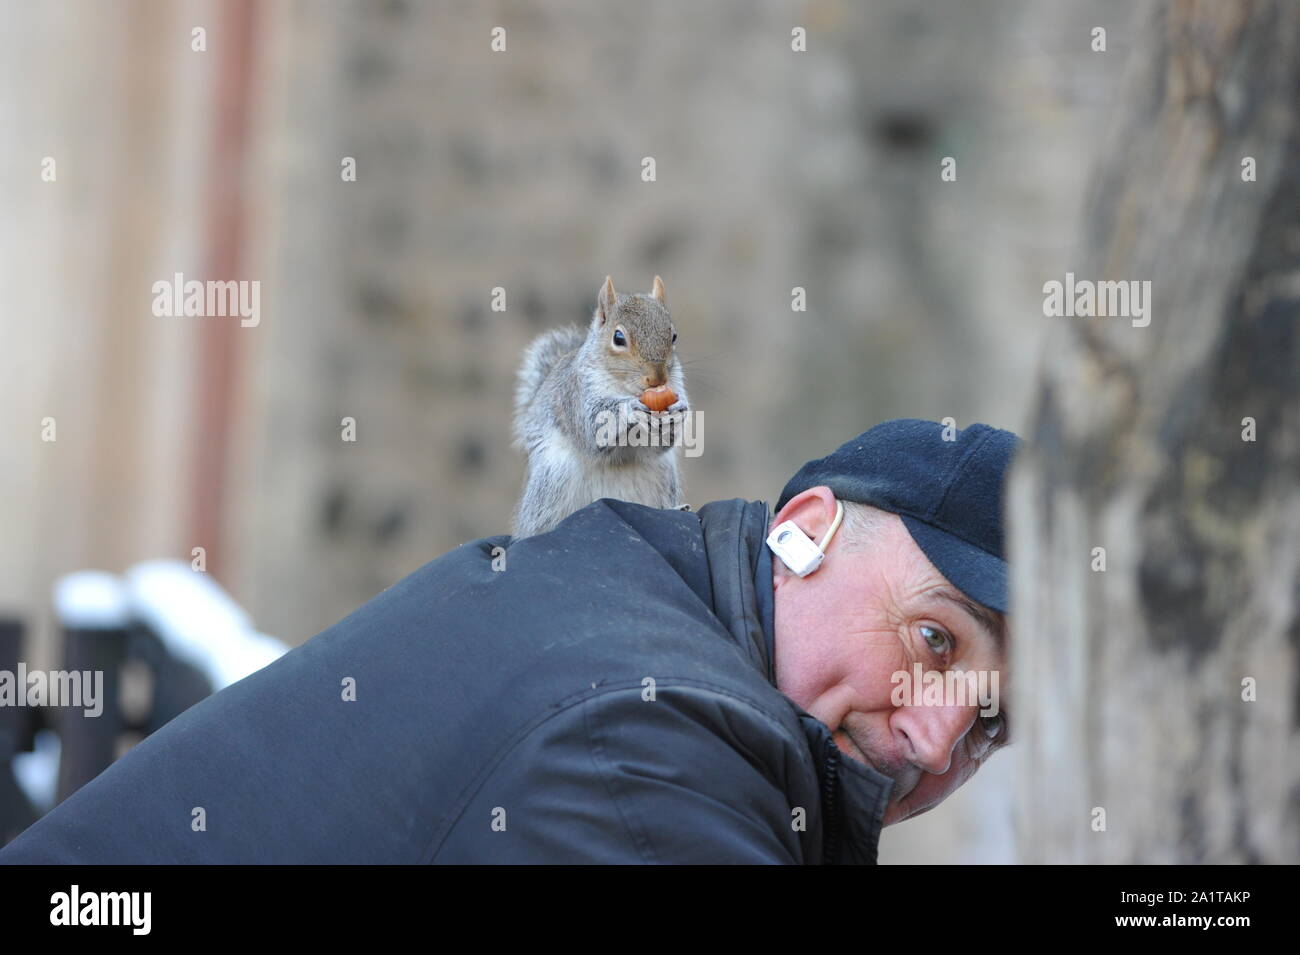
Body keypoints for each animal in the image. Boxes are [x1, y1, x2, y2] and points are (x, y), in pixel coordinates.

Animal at [510, 275, 690, 539]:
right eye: (618, 338)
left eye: (674, 336)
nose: (658, 379)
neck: (624, 387)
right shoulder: (575, 393)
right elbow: (593, 428)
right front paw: (630, 408)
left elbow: (655, 446)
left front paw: (677, 412)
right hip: (553, 479)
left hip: (663, 475)